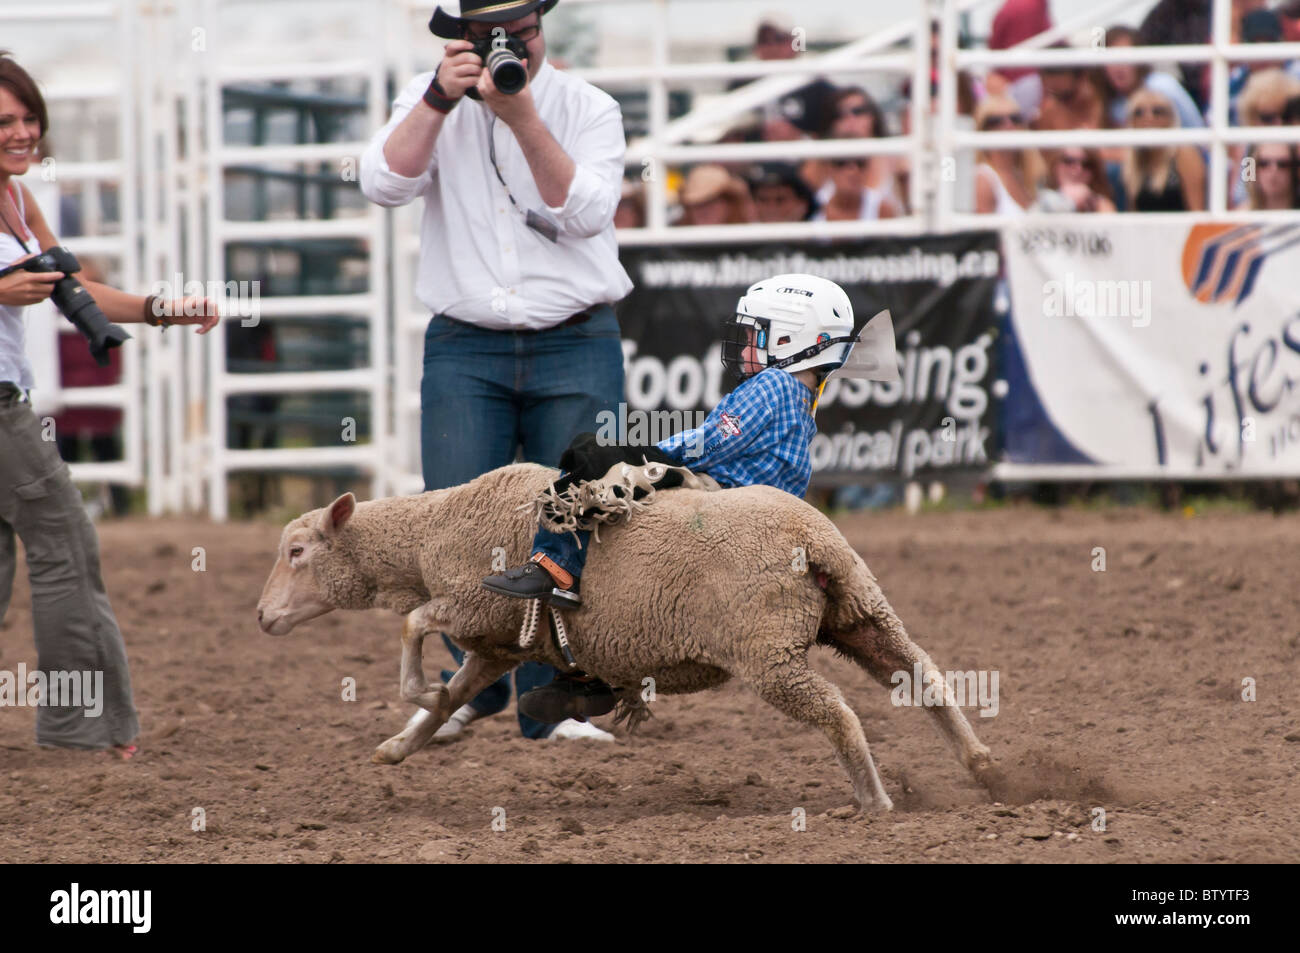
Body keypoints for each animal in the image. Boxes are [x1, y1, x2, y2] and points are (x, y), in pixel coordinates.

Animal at [256, 462, 994, 811]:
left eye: (296, 551)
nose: (262, 617)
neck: (428, 533)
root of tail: (812, 539)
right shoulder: (498, 645)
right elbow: (451, 694)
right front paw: (402, 743)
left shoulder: (474, 607)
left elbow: (413, 624)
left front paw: (411, 691)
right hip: (861, 612)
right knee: (923, 677)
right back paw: (982, 765)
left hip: (770, 654)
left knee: (839, 713)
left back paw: (874, 799)